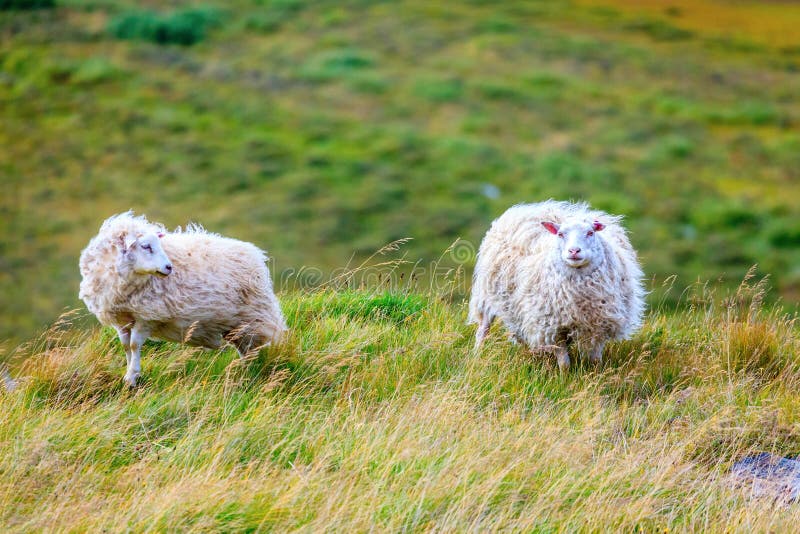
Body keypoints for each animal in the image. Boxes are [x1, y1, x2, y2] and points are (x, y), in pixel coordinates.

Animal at [79, 212, 287, 386]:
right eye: (146, 246)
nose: (168, 267)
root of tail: (255, 254)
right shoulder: (122, 318)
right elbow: (125, 346)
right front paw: (129, 374)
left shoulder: (148, 315)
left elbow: (134, 344)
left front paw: (132, 376)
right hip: (237, 325)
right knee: (247, 348)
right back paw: (246, 369)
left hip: (256, 316)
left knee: (262, 343)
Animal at [468, 200, 645, 371]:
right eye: (560, 234)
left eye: (590, 233)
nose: (574, 251)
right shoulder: (553, 326)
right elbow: (564, 363)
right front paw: (564, 378)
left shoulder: (600, 324)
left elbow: (595, 361)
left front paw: (597, 375)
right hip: (486, 295)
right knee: (483, 329)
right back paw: (477, 356)